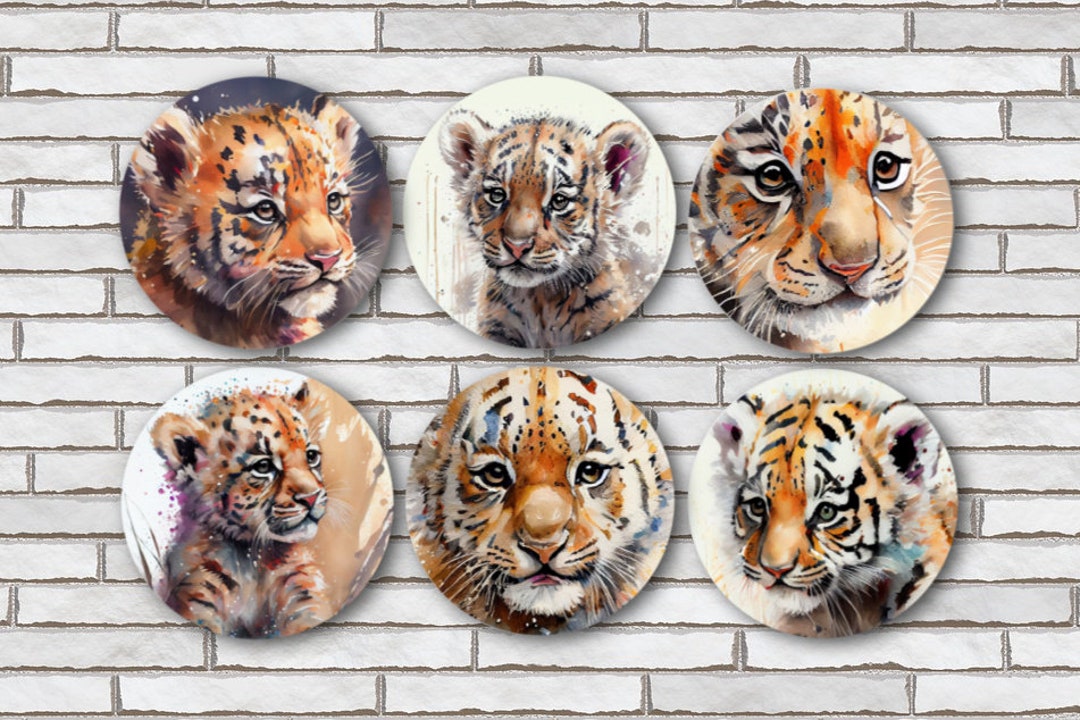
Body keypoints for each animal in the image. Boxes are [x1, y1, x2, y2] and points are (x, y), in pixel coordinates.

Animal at [149, 383, 334, 637]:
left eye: (311, 456)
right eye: (263, 466)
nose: (312, 497)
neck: (254, 560)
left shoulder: (303, 593)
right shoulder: (198, 590)